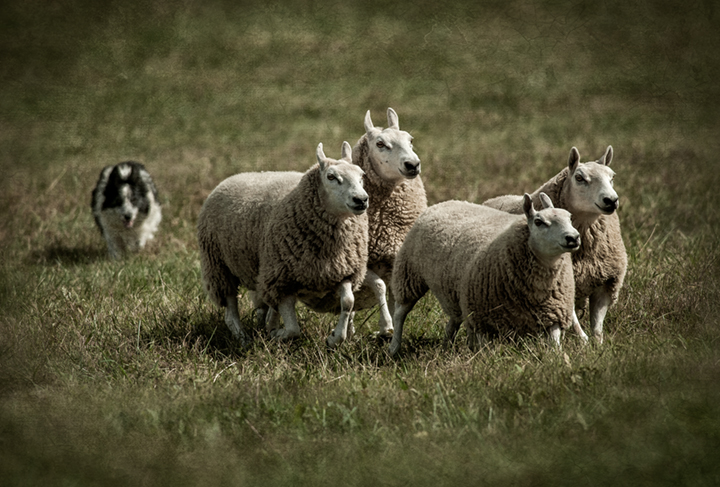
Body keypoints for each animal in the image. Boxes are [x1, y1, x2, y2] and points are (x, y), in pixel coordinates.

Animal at [197, 142, 369, 349]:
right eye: (331, 177)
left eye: (362, 176)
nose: (361, 200)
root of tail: (231, 177)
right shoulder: (282, 281)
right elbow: (293, 330)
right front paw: (276, 334)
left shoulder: (344, 272)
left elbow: (348, 302)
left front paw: (335, 338)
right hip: (219, 268)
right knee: (230, 313)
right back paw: (244, 339)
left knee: (263, 306)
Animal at [389, 193, 580, 356]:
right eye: (539, 222)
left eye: (570, 217)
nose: (573, 238)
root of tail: (445, 202)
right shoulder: (480, 314)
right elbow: (484, 348)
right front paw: (484, 359)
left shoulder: (555, 311)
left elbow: (554, 341)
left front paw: (556, 357)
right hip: (409, 273)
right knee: (400, 312)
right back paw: (394, 348)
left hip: (454, 290)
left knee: (454, 318)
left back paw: (445, 347)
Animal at [483, 146, 627, 344]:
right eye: (579, 178)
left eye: (612, 177)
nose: (611, 200)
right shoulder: (562, 283)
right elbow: (572, 318)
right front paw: (583, 340)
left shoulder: (606, 281)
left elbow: (597, 325)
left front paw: (598, 345)